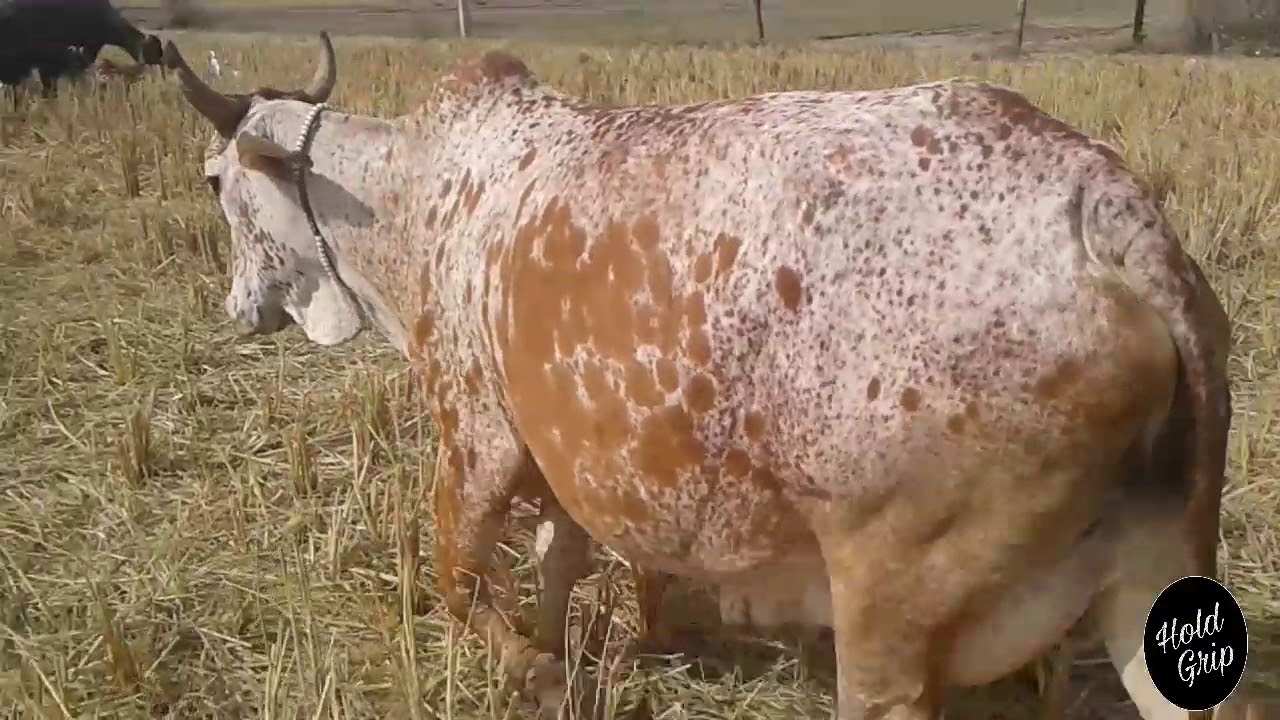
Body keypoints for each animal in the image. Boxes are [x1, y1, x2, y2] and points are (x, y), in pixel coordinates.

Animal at [162, 32, 1266, 720]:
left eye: (216, 182)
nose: (237, 307)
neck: (413, 203)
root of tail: (1111, 212)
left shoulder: (475, 437)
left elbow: (462, 583)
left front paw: (538, 677)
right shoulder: (566, 460)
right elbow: (559, 567)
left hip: (890, 618)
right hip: (1150, 574)